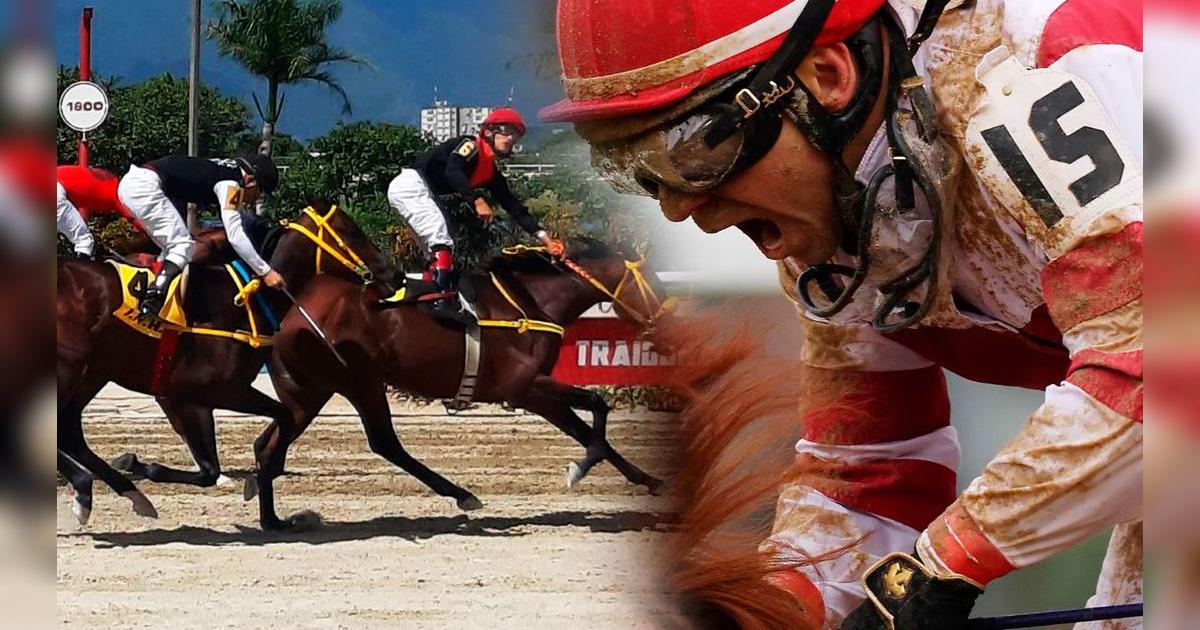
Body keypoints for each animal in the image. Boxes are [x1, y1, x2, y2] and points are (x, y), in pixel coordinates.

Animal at [56, 200, 397, 526]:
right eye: (352, 231)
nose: (394, 274)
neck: (243, 303)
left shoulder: (197, 399)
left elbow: (214, 467)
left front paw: (271, 515)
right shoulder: (207, 391)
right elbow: (274, 425)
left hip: (93, 372)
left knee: (69, 429)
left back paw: (121, 494)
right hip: (71, 368)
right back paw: (87, 488)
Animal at [247, 239, 673, 529]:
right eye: (654, 282)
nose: (672, 322)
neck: (532, 304)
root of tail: (291, 310)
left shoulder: (536, 392)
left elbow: (587, 427)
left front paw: (650, 480)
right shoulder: (524, 387)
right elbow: (597, 408)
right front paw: (580, 469)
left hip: (311, 391)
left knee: (269, 442)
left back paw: (271, 515)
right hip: (357, 380)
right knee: (383, 443)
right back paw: (463, 495)